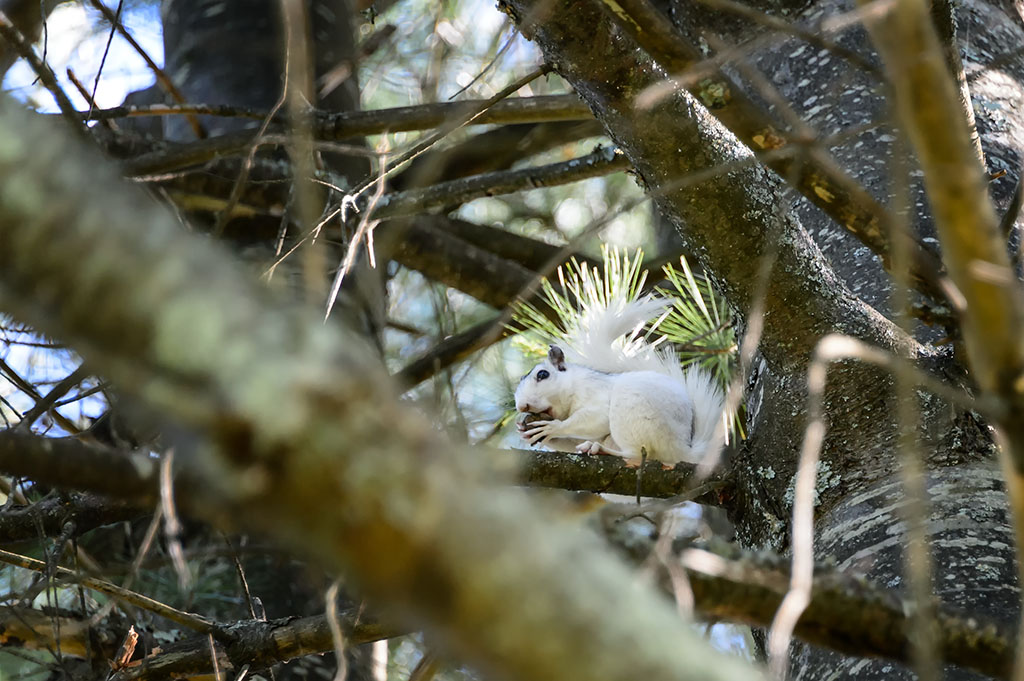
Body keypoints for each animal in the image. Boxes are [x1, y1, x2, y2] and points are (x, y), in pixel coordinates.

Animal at [514, 294, 725, 467]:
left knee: (635, 454)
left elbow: (595, 418)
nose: (522, 406)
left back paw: (601, 450)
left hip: (632, 413)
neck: (573, 385)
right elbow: (570, 445)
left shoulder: (595, 392)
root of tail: (682, 450)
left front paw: (553, 427)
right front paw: (526, 431)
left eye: (542, 375)